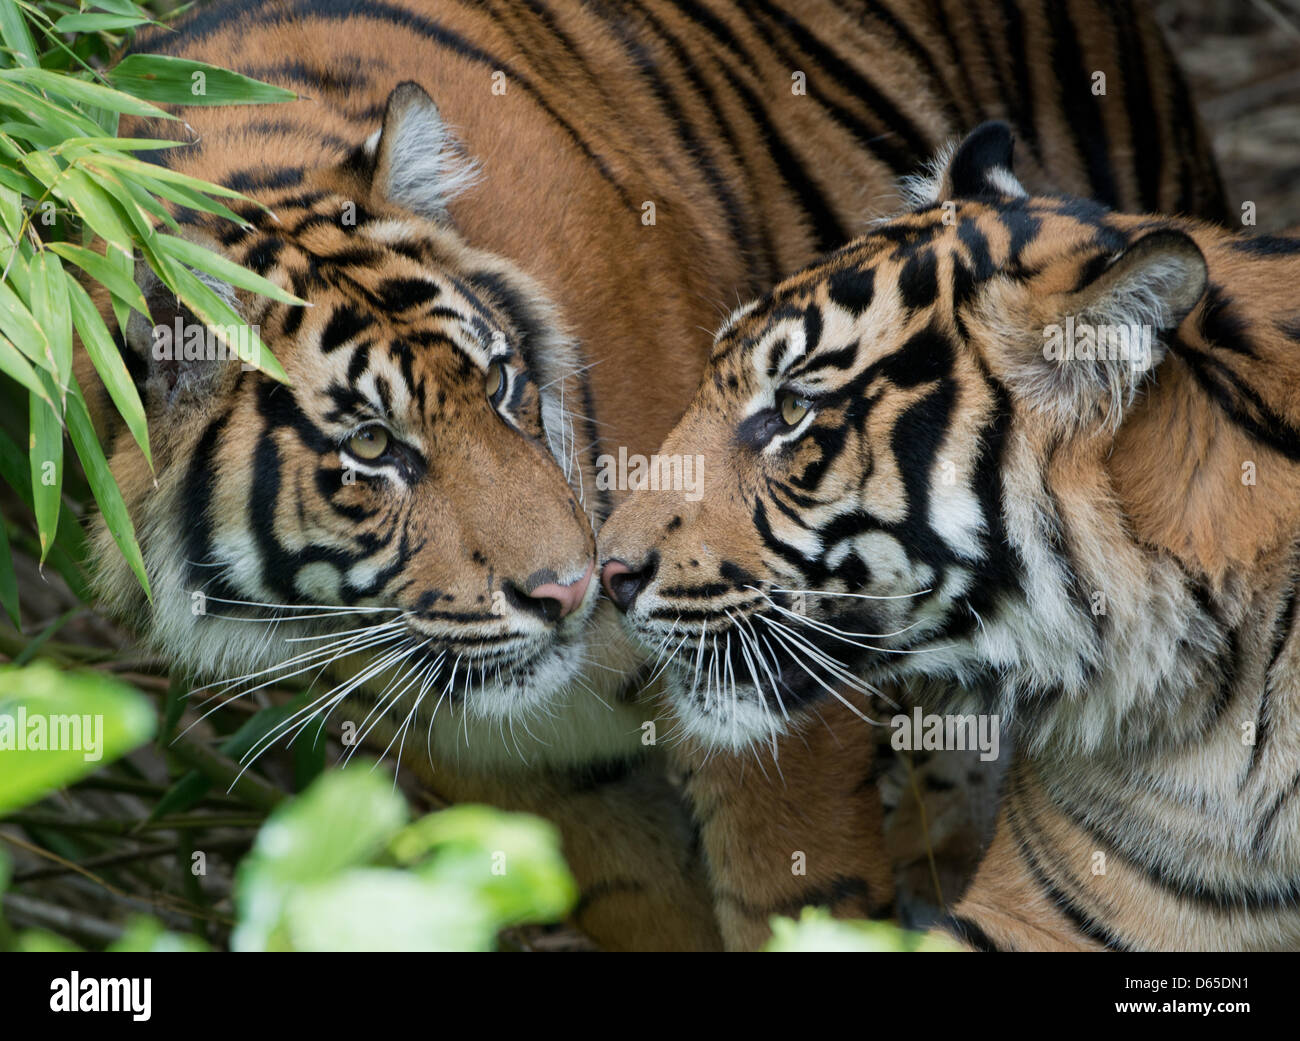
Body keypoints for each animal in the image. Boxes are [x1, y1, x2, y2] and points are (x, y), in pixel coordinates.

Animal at [78, 0, 1227, 951]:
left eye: (502, 384)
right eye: (370, 446)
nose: (571, 590)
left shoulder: (771, 681)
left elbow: (789, 895)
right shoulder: (508, 765)